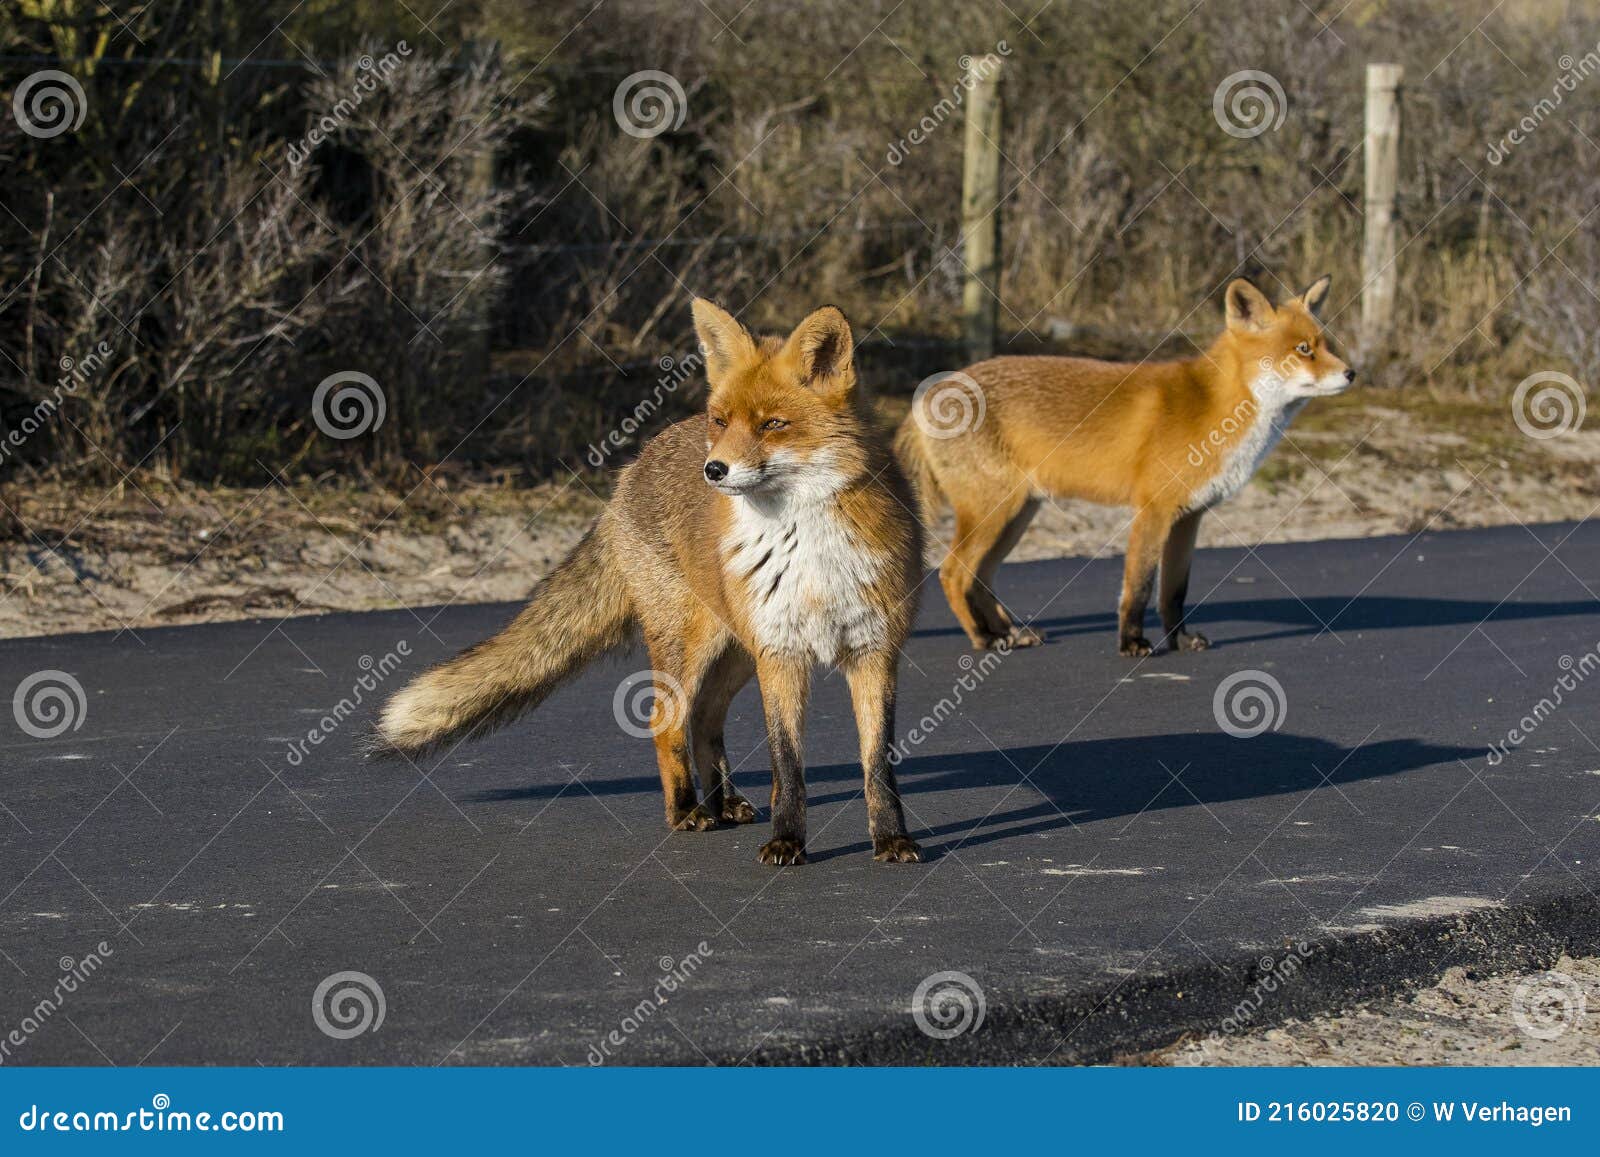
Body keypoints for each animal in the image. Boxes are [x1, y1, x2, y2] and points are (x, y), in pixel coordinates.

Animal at [375, 301, 925, 866]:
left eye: (773, 425)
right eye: (722, 422)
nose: (714, 469)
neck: (808, 552)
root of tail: (632, 467)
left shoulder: (874, 649)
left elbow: (877, 763)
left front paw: (891, 839)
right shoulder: (781, 653)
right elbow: (787, 765)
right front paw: (787, 841)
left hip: (734, 650)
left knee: (704, 719)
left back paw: (723, 802)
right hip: (694, 645)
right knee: (667, 720)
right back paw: (686, 810)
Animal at [896, 275, 1355, 657]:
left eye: (1326, 345)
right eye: (1303, 350)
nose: (1352, 373)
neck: (1215, 409)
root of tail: (928, 392)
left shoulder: (1189, 517)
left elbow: (1174, 593)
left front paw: (1180, 640)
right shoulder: (1153, 510)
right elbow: (1139, 587)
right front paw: (1132, 643)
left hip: (1018, 514)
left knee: (980, 577)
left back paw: (1009, 631)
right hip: (995, 511)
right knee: (953, 574)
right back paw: (984, 638)